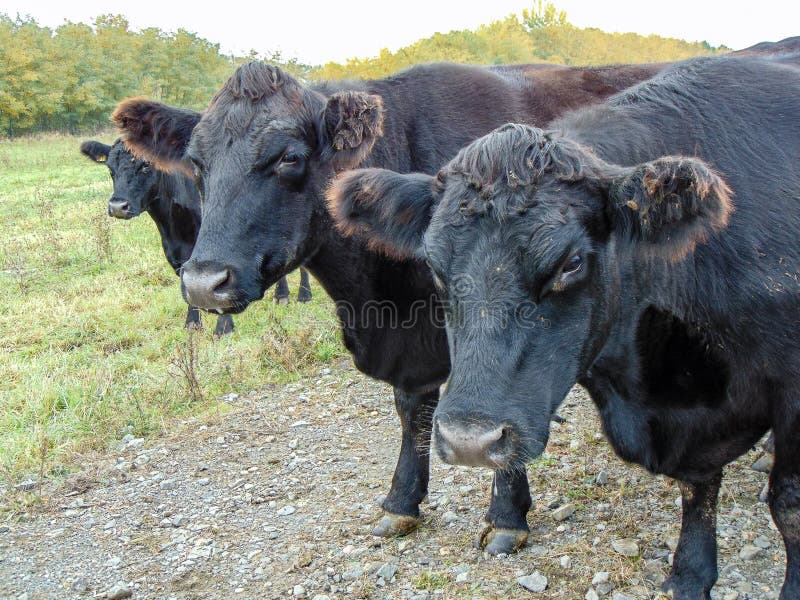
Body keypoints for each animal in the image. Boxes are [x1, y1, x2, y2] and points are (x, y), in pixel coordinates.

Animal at [80, 140, 312, 335]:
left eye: (146, 165)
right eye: (110, 168)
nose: (118, 206)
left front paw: (224, 327)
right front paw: (192, 323)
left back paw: (301, 295)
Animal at [109, 58, 676, 555]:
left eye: (288, 157)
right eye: (196, 163)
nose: (204, 282)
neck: (378, 299)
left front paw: (506, 517)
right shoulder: (414, 346)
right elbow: (412, 413)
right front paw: (402, 501)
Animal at [327, 54, 800, 598]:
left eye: (571, 263)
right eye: (433, 263)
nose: (470, 440)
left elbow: (789, 504)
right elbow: (698, 487)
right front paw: (690, 574)